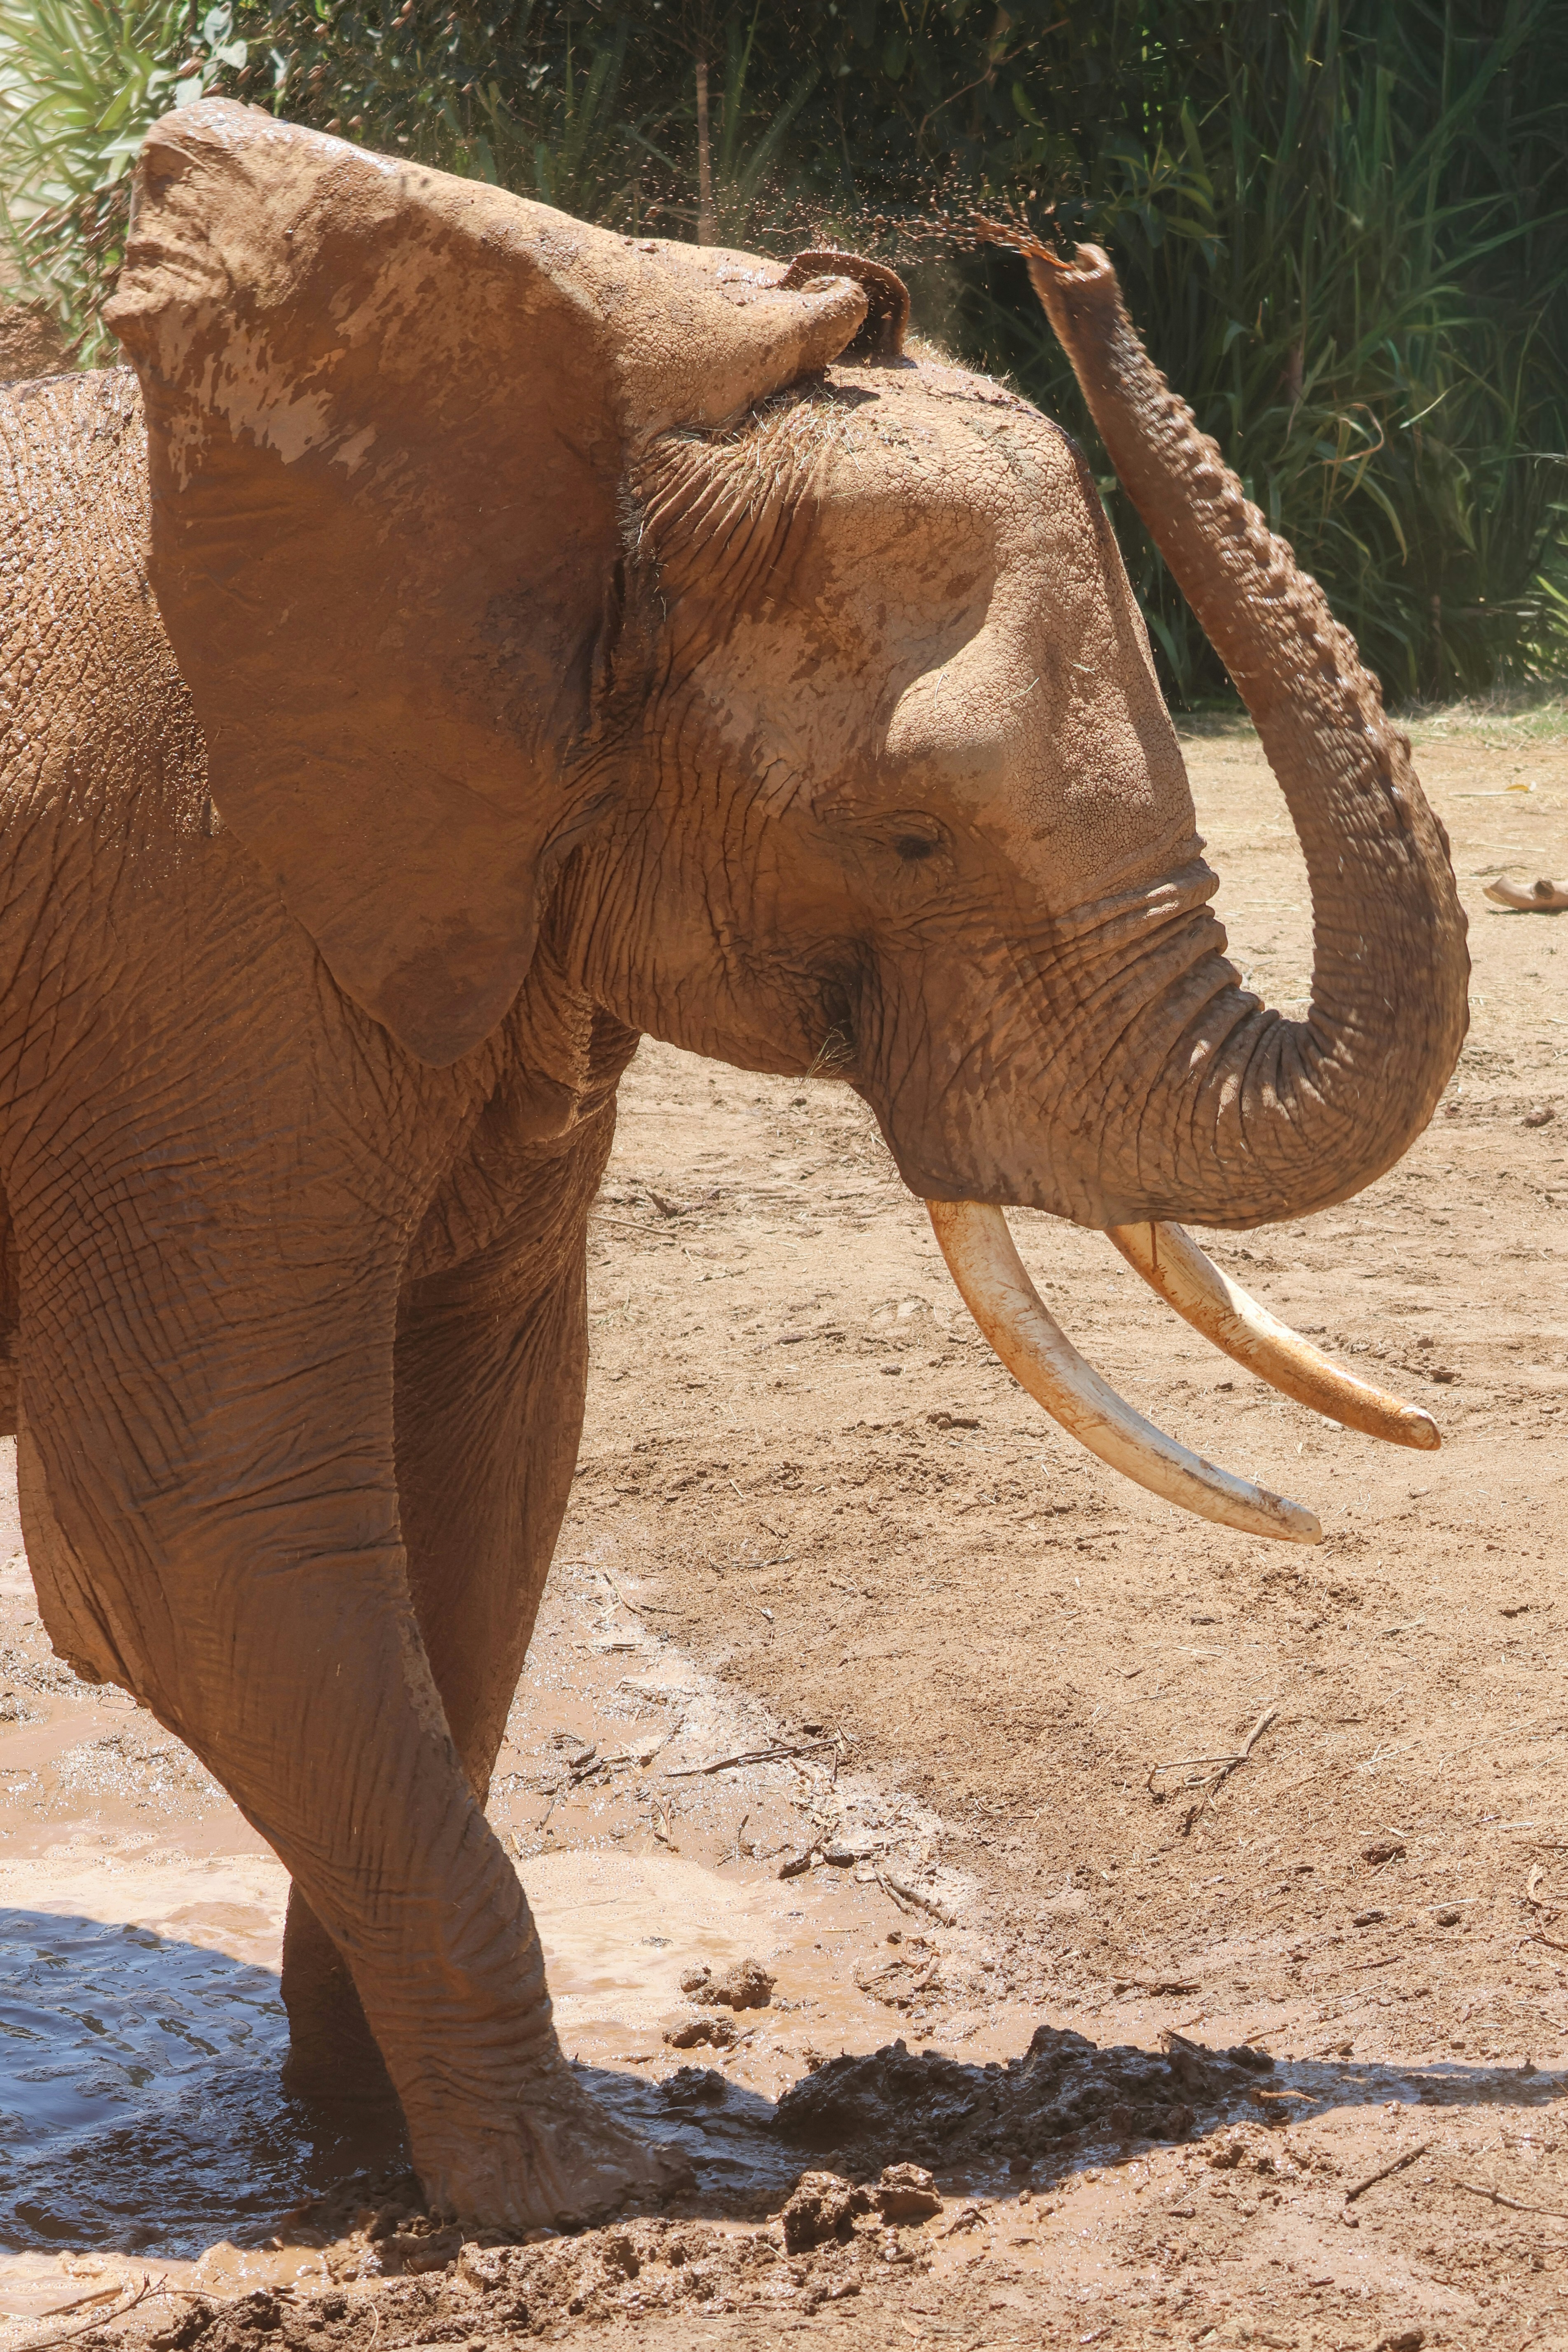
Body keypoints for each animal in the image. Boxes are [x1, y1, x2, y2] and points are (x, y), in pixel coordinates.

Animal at [0, 98, 1466, 2228]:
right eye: (910, 835)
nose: (1055, 253)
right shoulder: (181, 927)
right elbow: (193, 1532)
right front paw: (590, 2182)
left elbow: (483, 1464)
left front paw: (375, 2145)